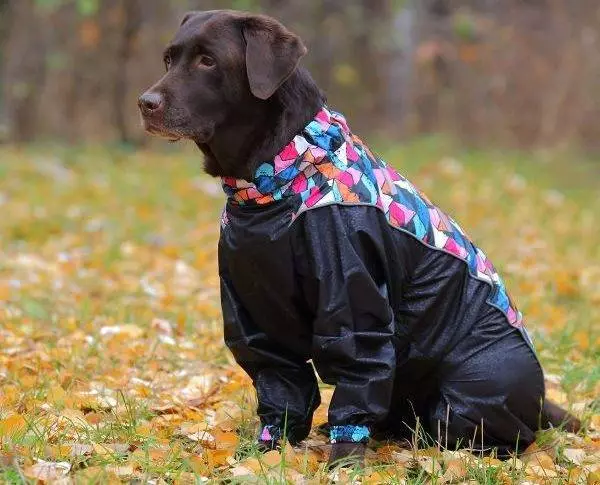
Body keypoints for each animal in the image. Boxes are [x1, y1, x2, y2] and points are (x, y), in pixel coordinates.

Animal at [138, 10, 580, 466]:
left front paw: (344, 459)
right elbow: (279, 379)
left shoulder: (351, 300)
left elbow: (357, 367)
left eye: (208, 60)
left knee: (486, 435)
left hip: (474, 390)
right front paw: (269, 448)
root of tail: (542, 400)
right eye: (169, 59)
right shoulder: (255, 309)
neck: (277, 182)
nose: (145, 103)